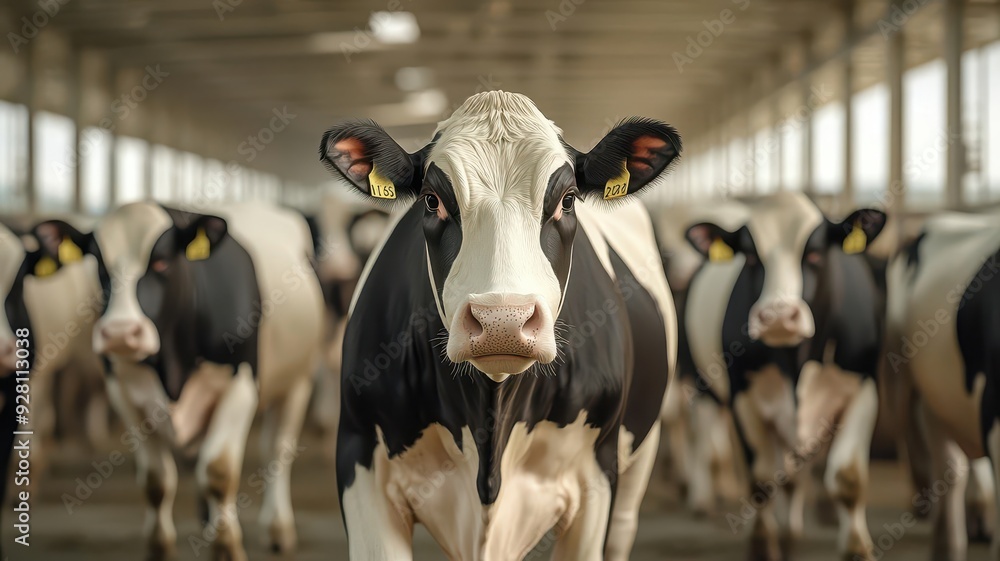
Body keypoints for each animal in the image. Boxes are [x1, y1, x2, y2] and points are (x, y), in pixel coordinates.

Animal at [43, 201, 324, 561]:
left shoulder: (241, 384)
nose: (120, 333)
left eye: (162, 261)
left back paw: (278, 529)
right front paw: (160, 549)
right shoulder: (123, 393)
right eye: (101, 267)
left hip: (298, 381)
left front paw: (227, 549)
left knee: (276, 450)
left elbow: (219, 471)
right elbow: (156, 481)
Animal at [684, 191, 887, 561]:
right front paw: (763, 545)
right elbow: (760, 480)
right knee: (709, 438)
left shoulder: (863, 389)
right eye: (750, 257)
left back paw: (792, 531)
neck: (798, 362)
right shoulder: (744, 397)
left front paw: (856, 547)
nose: (777, 316)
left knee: (793, 474)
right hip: (704, 383)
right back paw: (704, 498)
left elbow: (848, 477)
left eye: (816, 252)